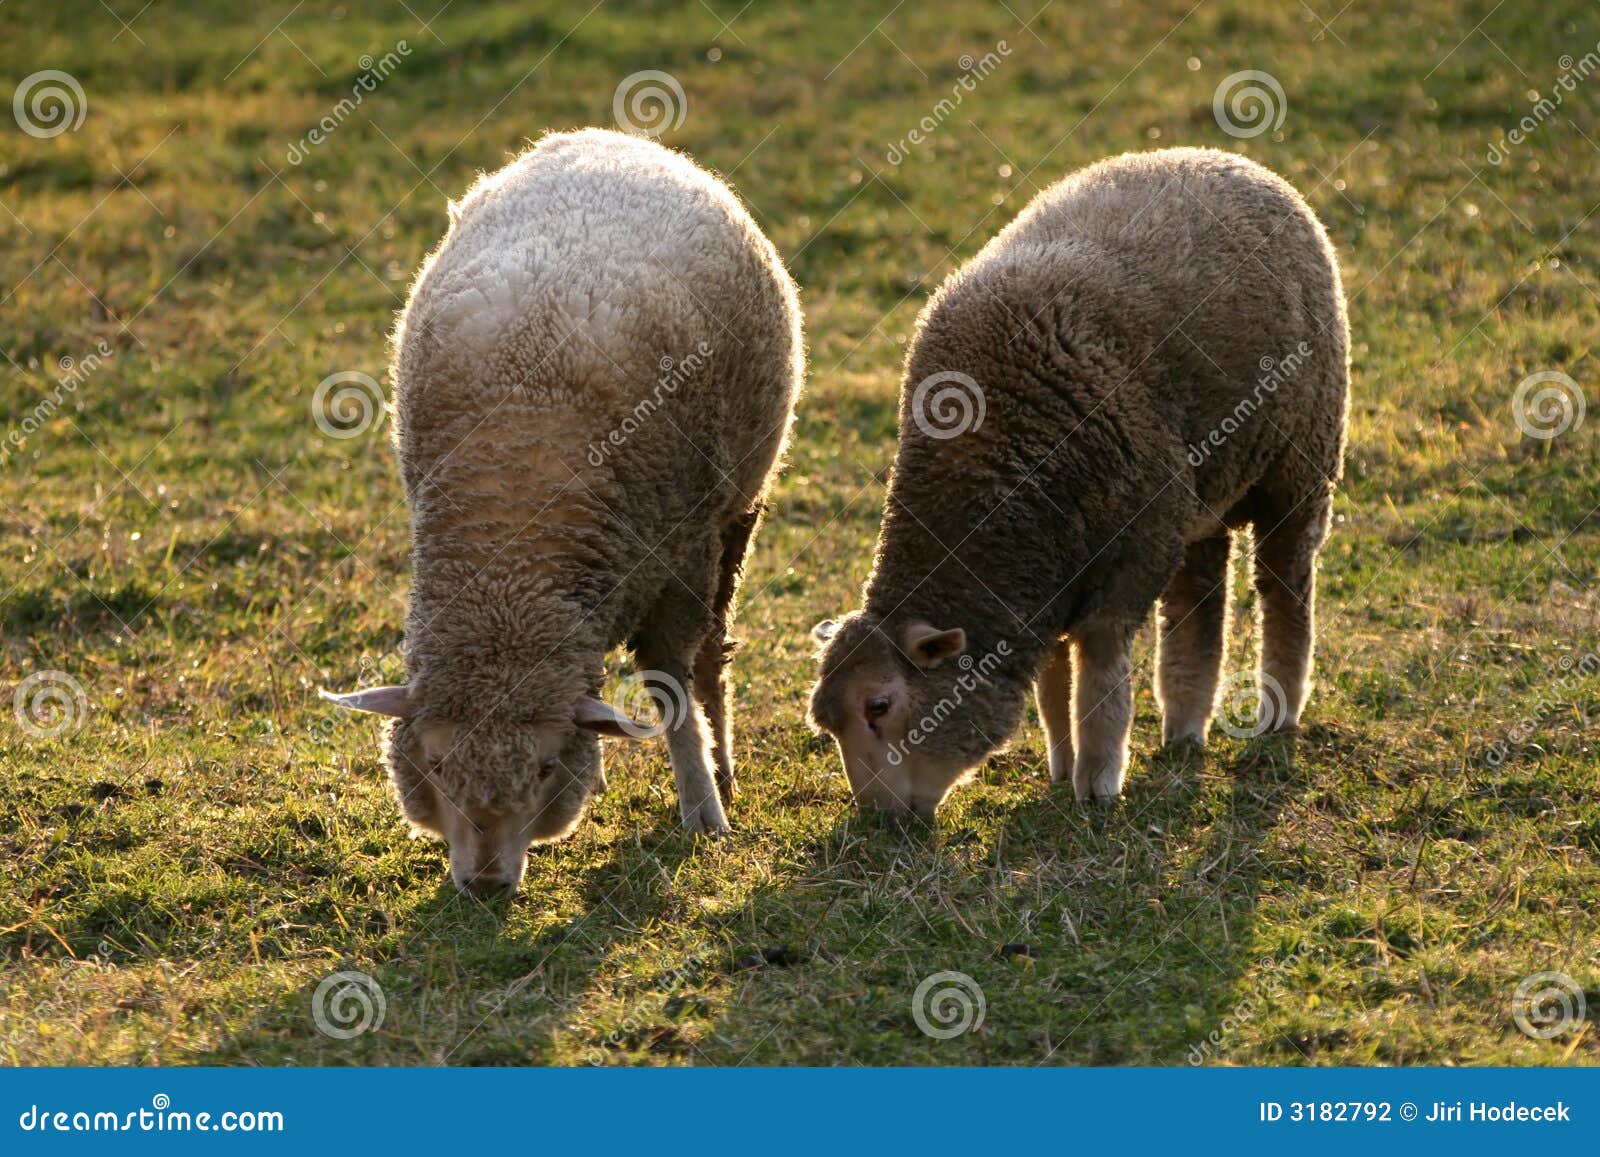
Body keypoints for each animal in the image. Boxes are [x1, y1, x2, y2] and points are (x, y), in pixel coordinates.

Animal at [323, 128, 803, 896]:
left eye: (547, 766)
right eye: (435, 763)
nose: (486, 884)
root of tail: (607, 136)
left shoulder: (678, 559)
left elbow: (673, 688)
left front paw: (701, 805)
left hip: (735, 513)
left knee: (713, 654)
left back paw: (722, 764)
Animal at [810, 147, 1348, 819]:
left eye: (879, 705)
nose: (877, 820)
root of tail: (1232, 160)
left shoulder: (1127, 558)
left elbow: (1098, 678)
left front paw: (1096, 779)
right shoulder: (1050, 580)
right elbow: (1053, 681)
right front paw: (1063, 765)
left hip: (1300, 464)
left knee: (1285, 587)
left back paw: (1277, 710)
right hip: (1199, 495)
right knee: (1199, 605)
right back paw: (1185, 727)